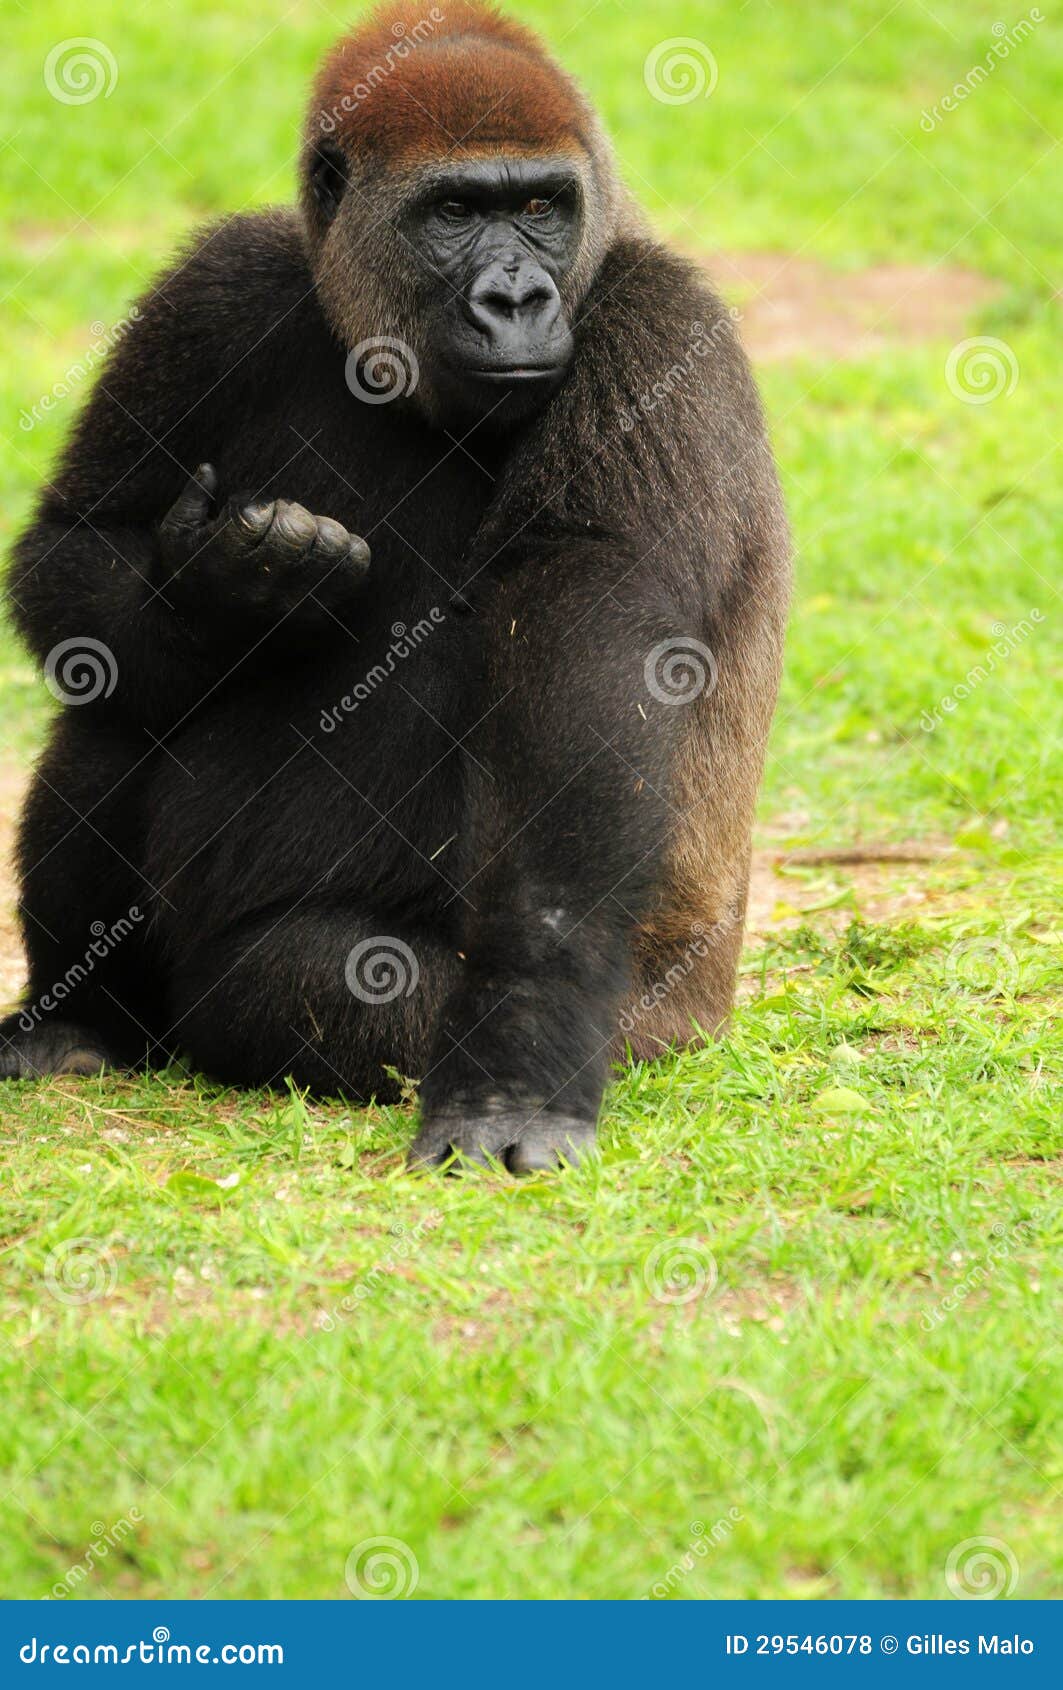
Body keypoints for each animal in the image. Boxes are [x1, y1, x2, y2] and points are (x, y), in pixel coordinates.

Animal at [1, 2, 790, 1174]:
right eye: (454, 210)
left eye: (541, 207)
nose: (516, 296)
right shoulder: (218, 284)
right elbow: (77, 546)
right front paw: (228, 592)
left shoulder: (659, 332)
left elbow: (590, 675)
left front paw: (517, 1064)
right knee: (118, 708)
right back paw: (83, 1020)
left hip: (652, 1024)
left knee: (303, 980)